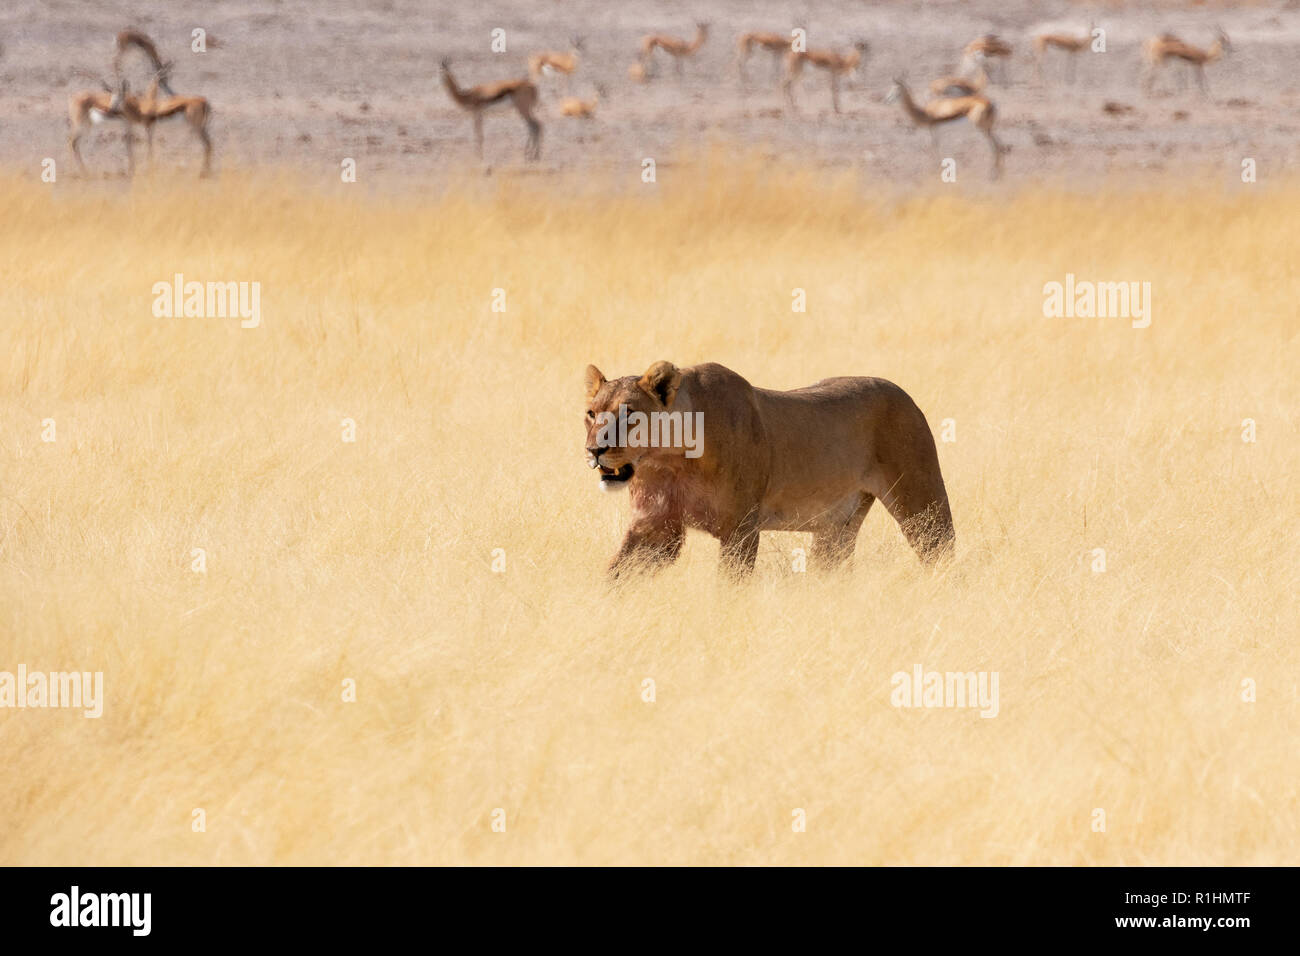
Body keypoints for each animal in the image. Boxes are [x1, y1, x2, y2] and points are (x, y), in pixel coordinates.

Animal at [583, 361, 955, 578]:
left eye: (629, 414)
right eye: (591, 413)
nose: (593, 450)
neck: (671, 458)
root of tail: (903, 392)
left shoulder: (741, 530)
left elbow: (730, 587)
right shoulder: (656, 528)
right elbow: (617, 575)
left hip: (922, 505)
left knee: (941, 552)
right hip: (835, 528)